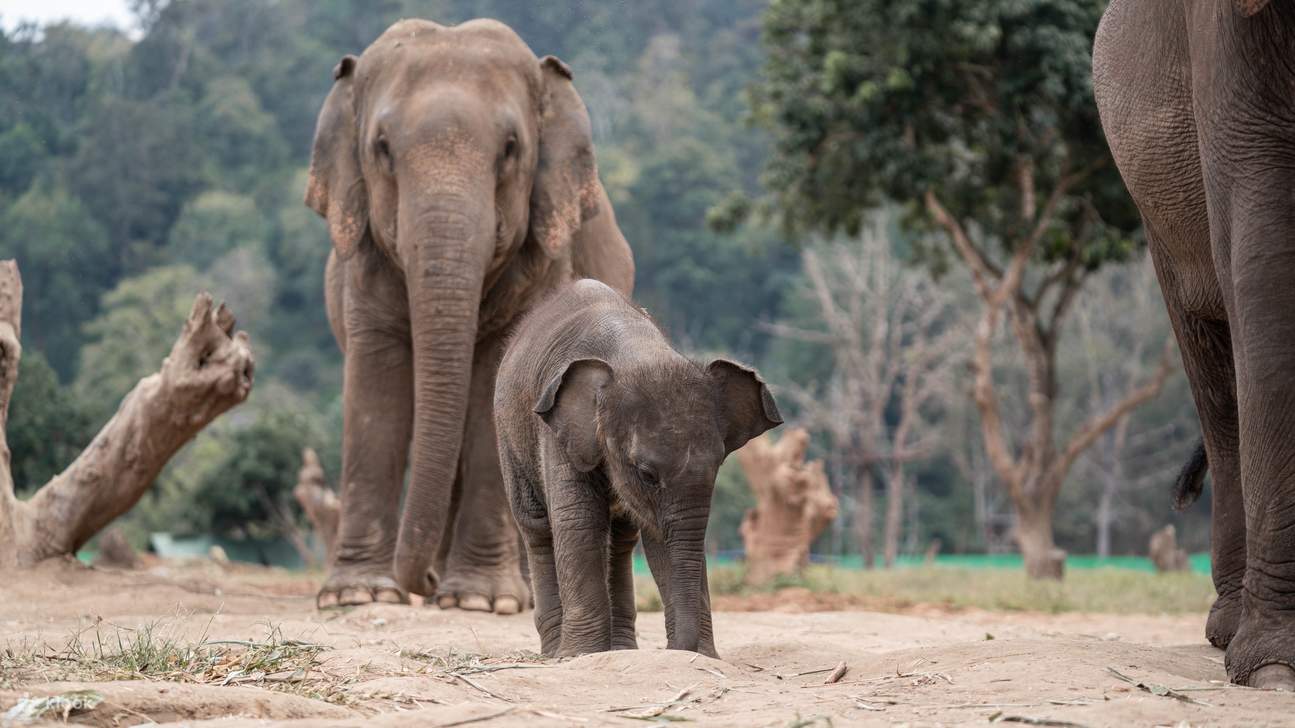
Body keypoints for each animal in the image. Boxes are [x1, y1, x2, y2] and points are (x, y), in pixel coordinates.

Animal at [305, 18, 634, 612]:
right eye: (381, 148)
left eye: (510, 148)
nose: (423, 583)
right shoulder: (363, 264)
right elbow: (375, 392)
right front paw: (357, 595)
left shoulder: (544, 262)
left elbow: (492, 391)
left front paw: (482, 602)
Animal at [493, 279, 782, 657]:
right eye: (646, 474)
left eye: (718, 464)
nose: (678, 648)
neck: (636, 351)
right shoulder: (558, 434)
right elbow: (579, 520)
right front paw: (582, 655)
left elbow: (659, 536)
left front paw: (701, 657)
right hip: (507, 433)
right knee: (538, 528)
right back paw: (558, 652)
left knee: (622, 537)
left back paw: (620, 649)